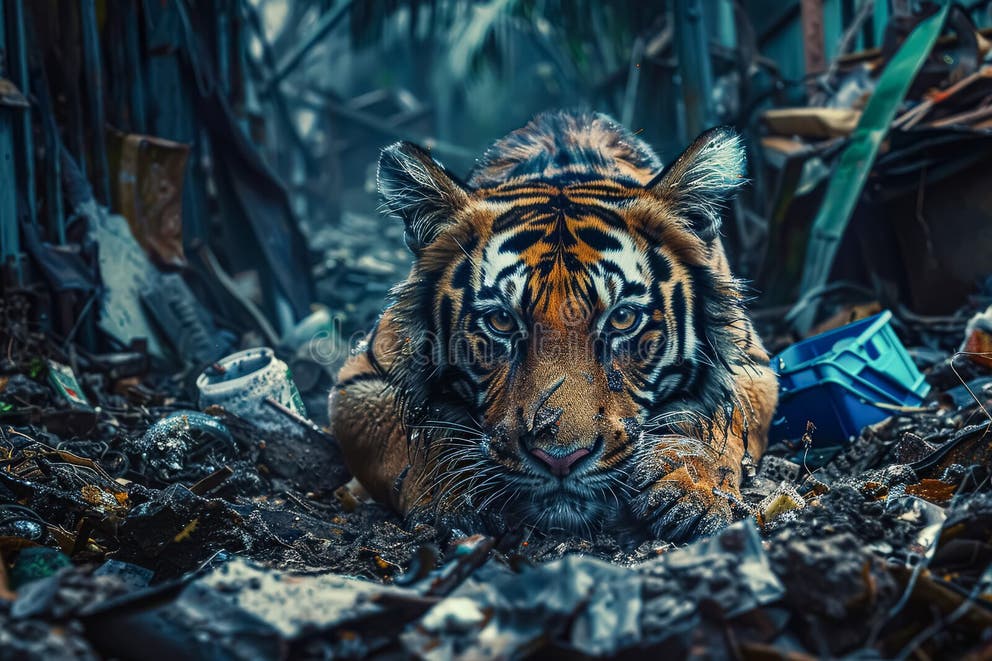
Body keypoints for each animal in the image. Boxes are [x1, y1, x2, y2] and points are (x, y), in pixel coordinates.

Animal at [328, 110, 778, 543]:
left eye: (622, 318)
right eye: (501, 321)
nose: (560, 459)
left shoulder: (753, 366)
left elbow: (721, 417)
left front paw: (687, 483)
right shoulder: (363, 378)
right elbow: (414, 434)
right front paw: (454, 490)